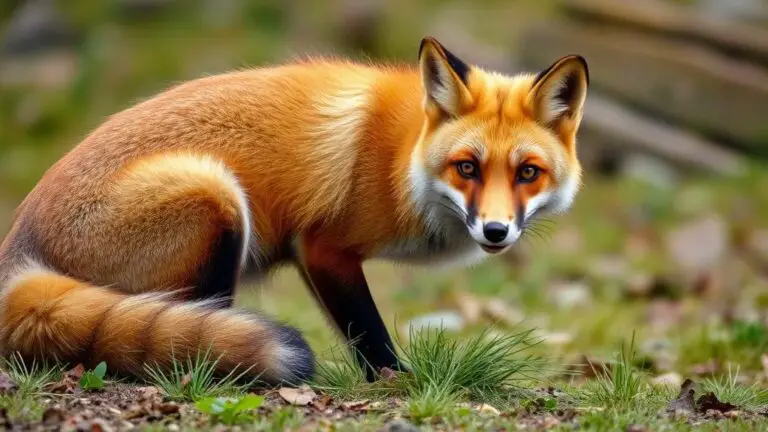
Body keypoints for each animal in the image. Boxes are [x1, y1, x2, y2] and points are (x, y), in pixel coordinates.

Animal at [0, 37, 588, 385]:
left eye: (527, 173)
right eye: (467, 167)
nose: (495, 230)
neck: (399, 159)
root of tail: (20, 248)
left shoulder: (314, 259)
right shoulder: (323, 249)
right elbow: (368, 334)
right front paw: (396, 383)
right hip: (217, 198)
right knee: (192, 331)